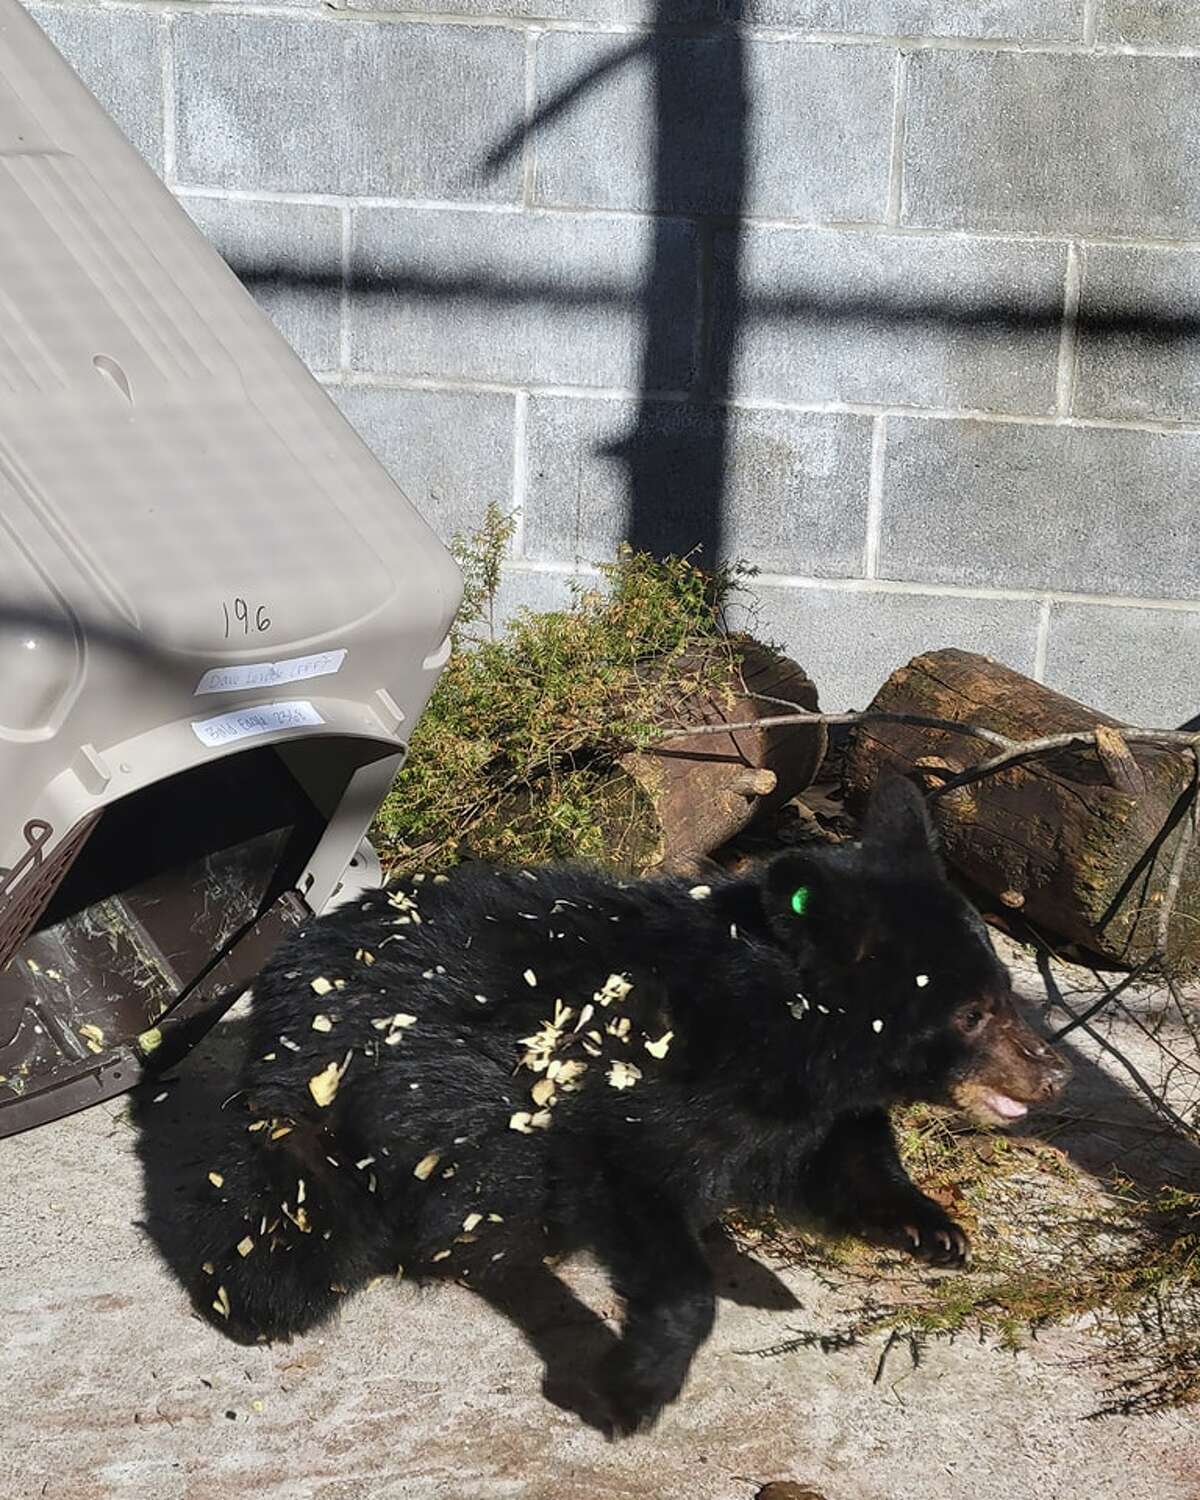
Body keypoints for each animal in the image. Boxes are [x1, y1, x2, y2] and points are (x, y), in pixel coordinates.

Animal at [166, 775, 1068, 1435]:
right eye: (973, 1012)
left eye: (1003, 989)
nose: (1056, 1074)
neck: (773, 1031)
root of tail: (278, 979)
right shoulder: (632, 1092)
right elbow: (639, 1202)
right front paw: (634, 1389)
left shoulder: (802, 1113)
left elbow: (844, 1163)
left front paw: (934, 1229)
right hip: (324, 1112)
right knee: (285, 1236)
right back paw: (259, 1296)